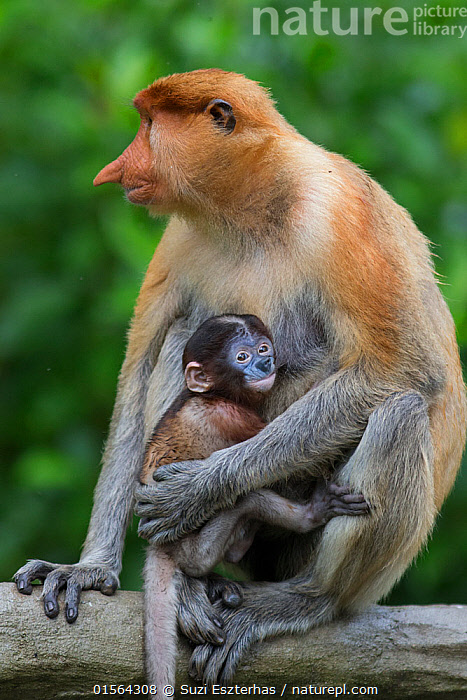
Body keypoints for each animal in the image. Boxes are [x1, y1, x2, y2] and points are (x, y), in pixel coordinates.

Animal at [140, 314, 369, 697]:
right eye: (242, 357)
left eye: (263, 348)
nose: (266, 362)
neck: (212, 394)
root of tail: (162, 546)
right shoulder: (232, 416)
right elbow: (280, 467)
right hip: (197, 548)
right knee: (249, 497)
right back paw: (312, 514)